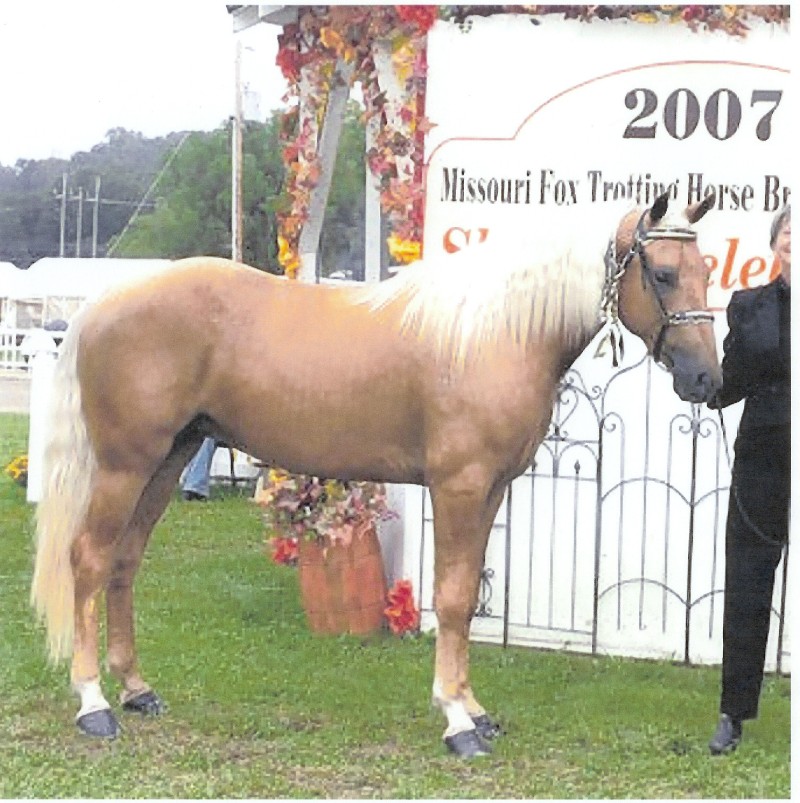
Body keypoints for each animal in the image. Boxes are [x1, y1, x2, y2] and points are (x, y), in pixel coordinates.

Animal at [31, 191, 720, 758]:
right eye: (663, 273)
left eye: (707, 272)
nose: (706, 379)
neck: (494, 333)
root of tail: (104, 303)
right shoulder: (460, 486)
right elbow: (452, 597)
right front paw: (457, 722)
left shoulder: (493, 488)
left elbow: (467, 595)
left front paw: (473, 708)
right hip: (125, 464)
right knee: (89, 560)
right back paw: (93, 704)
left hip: (170, 458)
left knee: (124, 563)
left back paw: (136, 690)